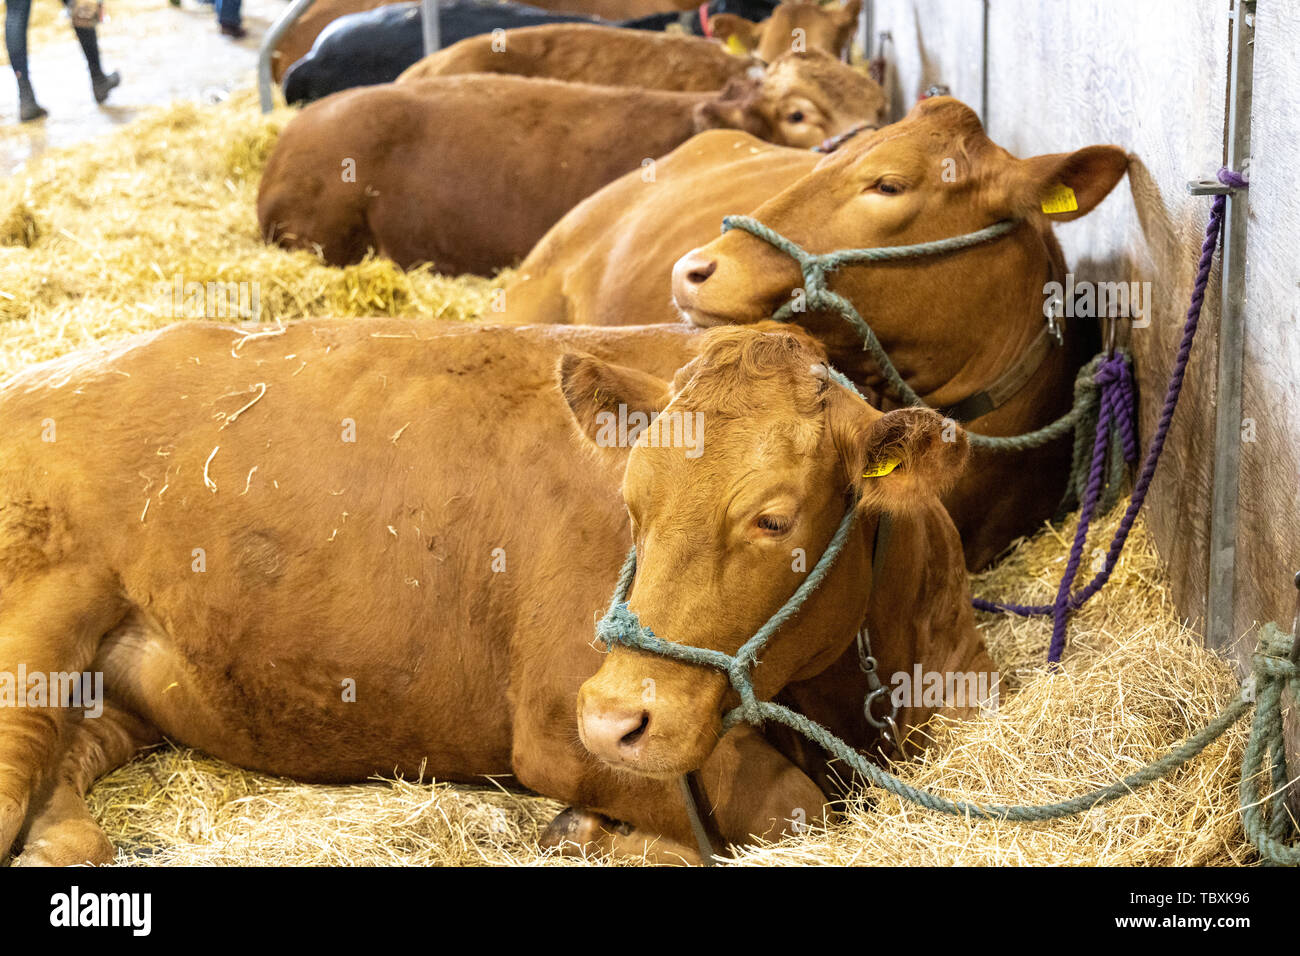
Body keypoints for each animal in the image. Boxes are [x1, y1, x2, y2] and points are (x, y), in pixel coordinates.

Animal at [0, 318, 991, 865]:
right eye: (631, 503)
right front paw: (593, 835)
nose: (615, 717)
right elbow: (789, 811)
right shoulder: (553, 728)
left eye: (774, 519)